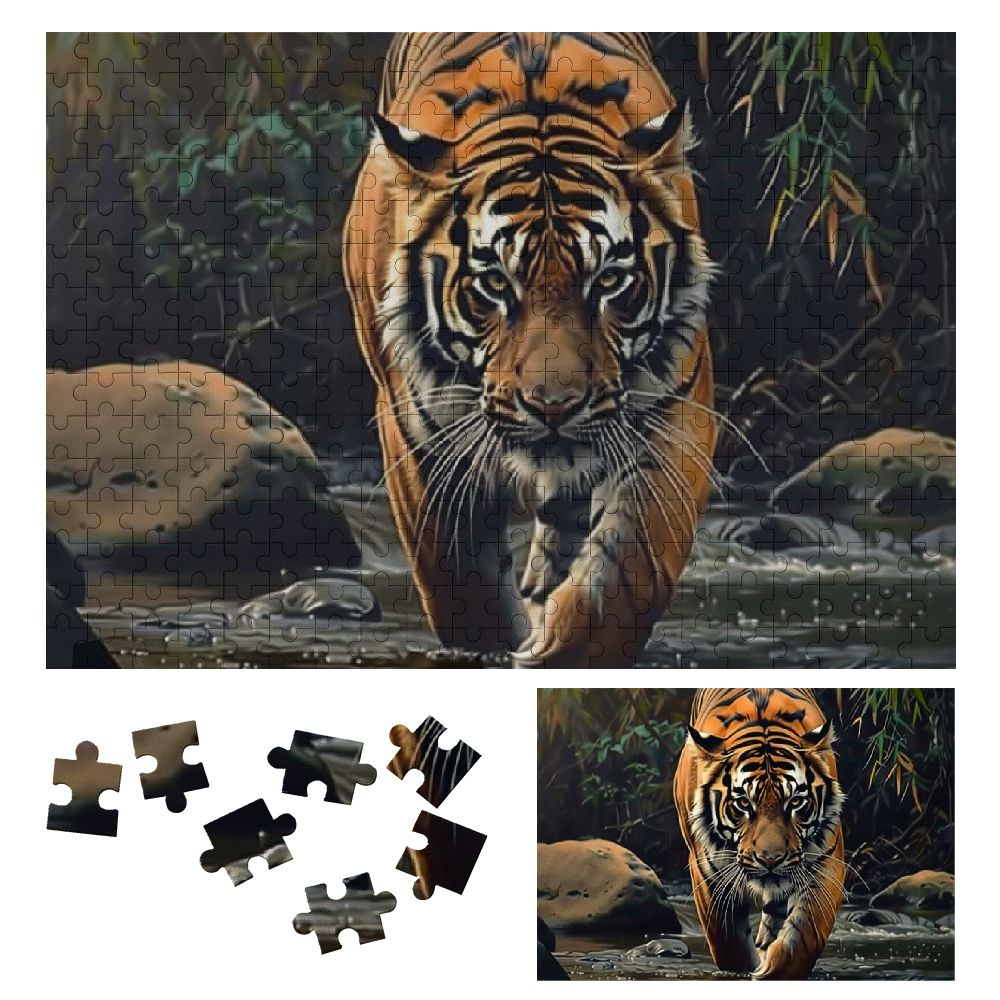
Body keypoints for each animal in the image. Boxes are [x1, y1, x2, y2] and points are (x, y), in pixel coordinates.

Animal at [344, 33, 717, 667]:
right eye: (495, 284)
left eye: (608, 281)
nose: (553, 407)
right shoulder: (417, 435)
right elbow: (462, 583)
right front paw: (501, 647)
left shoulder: (675, 412)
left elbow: (632, 562)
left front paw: (564, 650)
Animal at [673, 689, 845, 980]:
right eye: (744, 803)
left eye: (795, 802)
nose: (770, 859)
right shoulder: (708, 874)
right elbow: (729, 943)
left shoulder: (827, 862)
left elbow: (805, 933)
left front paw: (773, 968)